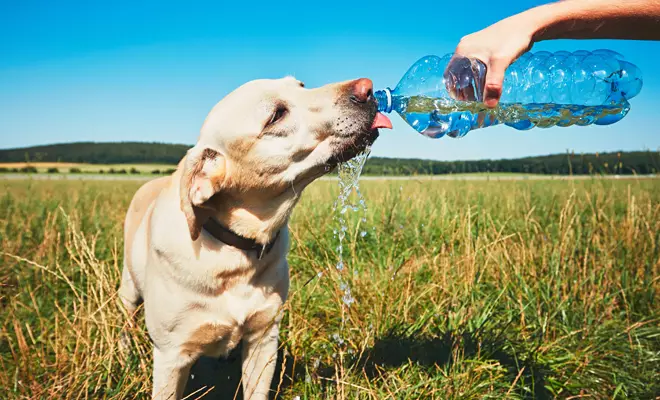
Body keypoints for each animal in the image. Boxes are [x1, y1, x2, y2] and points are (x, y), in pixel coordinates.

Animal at [120, 76, 392, 398]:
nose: (368, 87)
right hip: (128, 290)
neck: (234, 251)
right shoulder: (171, 356)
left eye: (301, 85)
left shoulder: (264, 339)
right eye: (276, 115)